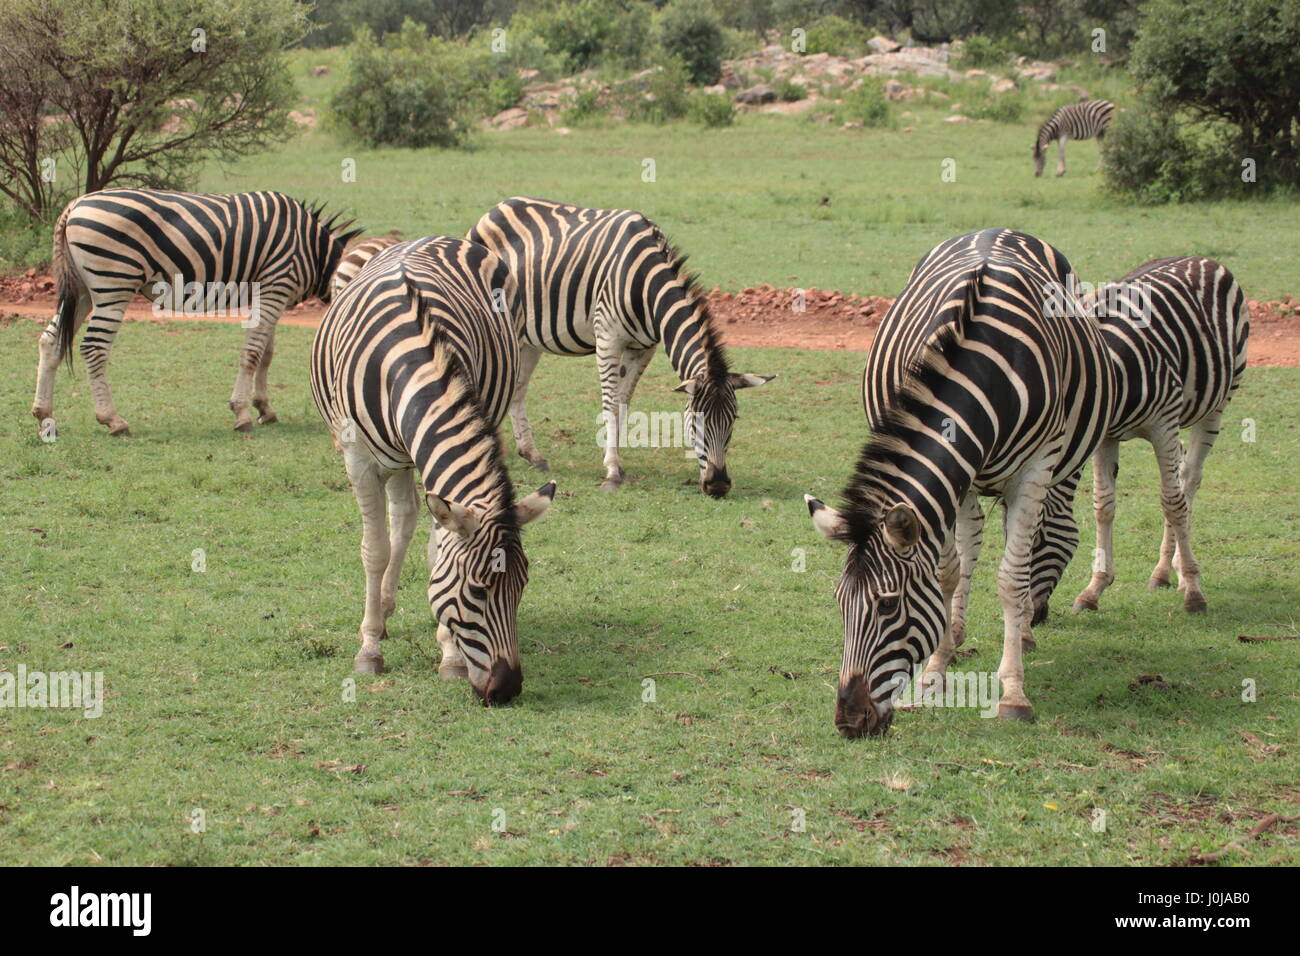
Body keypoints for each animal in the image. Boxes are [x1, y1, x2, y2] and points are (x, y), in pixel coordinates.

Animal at [31, 188, 361, 436]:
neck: (315, 250)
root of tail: (73, 206)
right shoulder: (277, 284)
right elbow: (253, 352)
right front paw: (242, 413)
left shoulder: (271, 293)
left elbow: (266, 353)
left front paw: (264, 408)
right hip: (113, 284)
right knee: (93, 348)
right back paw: (113, 420)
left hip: (83, 290)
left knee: (50, 341)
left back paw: (44, 415)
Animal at [310, 235, 555, 705]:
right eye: (477, 590)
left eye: (523, 586)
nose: (508, 690)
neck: (406, 358)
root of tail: (435, 238)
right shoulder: (359, 458)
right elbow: (375, 549)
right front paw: (368, 648)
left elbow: (434, 550)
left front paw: (449, 654)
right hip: (393, 456)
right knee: (400, 520)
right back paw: (381, 612)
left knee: (406, 517)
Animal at [467, 197, 773, 496]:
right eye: (696, 422)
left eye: (733, 420)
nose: (718, 485)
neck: (648, 286)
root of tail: (498, 207)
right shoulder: (608, 339)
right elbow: (610, 404)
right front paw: (612, 471)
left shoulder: (643, 348)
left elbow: (623, 404)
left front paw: (613, 460)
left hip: (529, 337)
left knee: (518, 388)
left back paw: (533, 455)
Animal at [806, 228, 1113, 736]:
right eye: (838, 601)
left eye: (888, 605)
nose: (849, 721)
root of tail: (1000, 229)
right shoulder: (958, 476)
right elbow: (947, 571)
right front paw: (934, 671)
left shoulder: (1036, 467)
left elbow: (1012, 578)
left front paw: (1013, 692)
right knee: (972, 546)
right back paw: (957, 635)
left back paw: (1020, 632)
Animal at [1025, 257, 1250, 619]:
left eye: (1038, 541)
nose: (1034, 617)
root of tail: (1199, 258)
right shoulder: (1105, 435)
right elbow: (1103, 505)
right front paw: (1094, 589)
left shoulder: (1162, 423)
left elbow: (1172, 503)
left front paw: (1194, 591)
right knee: (1181, 472)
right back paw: (1162, 572)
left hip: (1216, 404)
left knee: (1189, 480)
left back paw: (1179, 571)